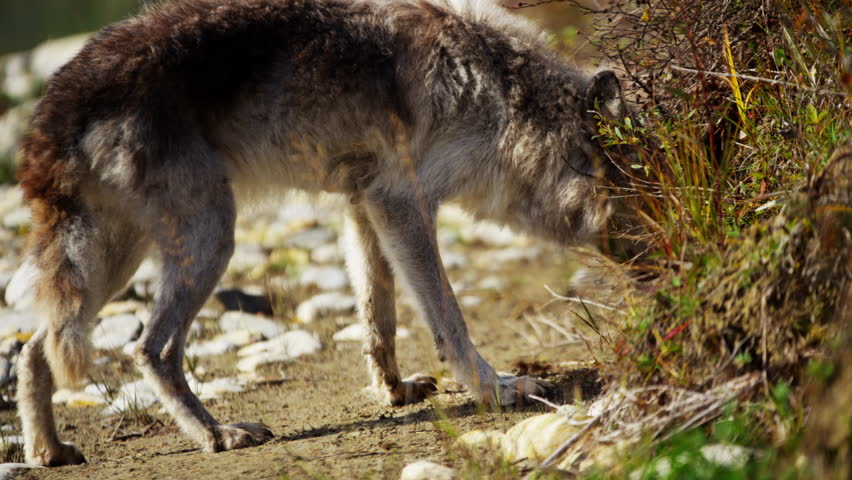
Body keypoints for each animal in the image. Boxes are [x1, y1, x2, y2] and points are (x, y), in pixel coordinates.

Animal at [14, 0, 632, 466]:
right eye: (643, 195)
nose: (655, 267)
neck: (502, 95)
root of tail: (50, 111)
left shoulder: (365, 205)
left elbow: (378, 316)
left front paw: (394, 390)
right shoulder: (403, 204)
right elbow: (448, 319)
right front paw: (495, 390)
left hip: (117, 260)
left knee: (35, 348)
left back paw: (49, 452)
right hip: (210, 240)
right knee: (151, 347)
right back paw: (217, 436)